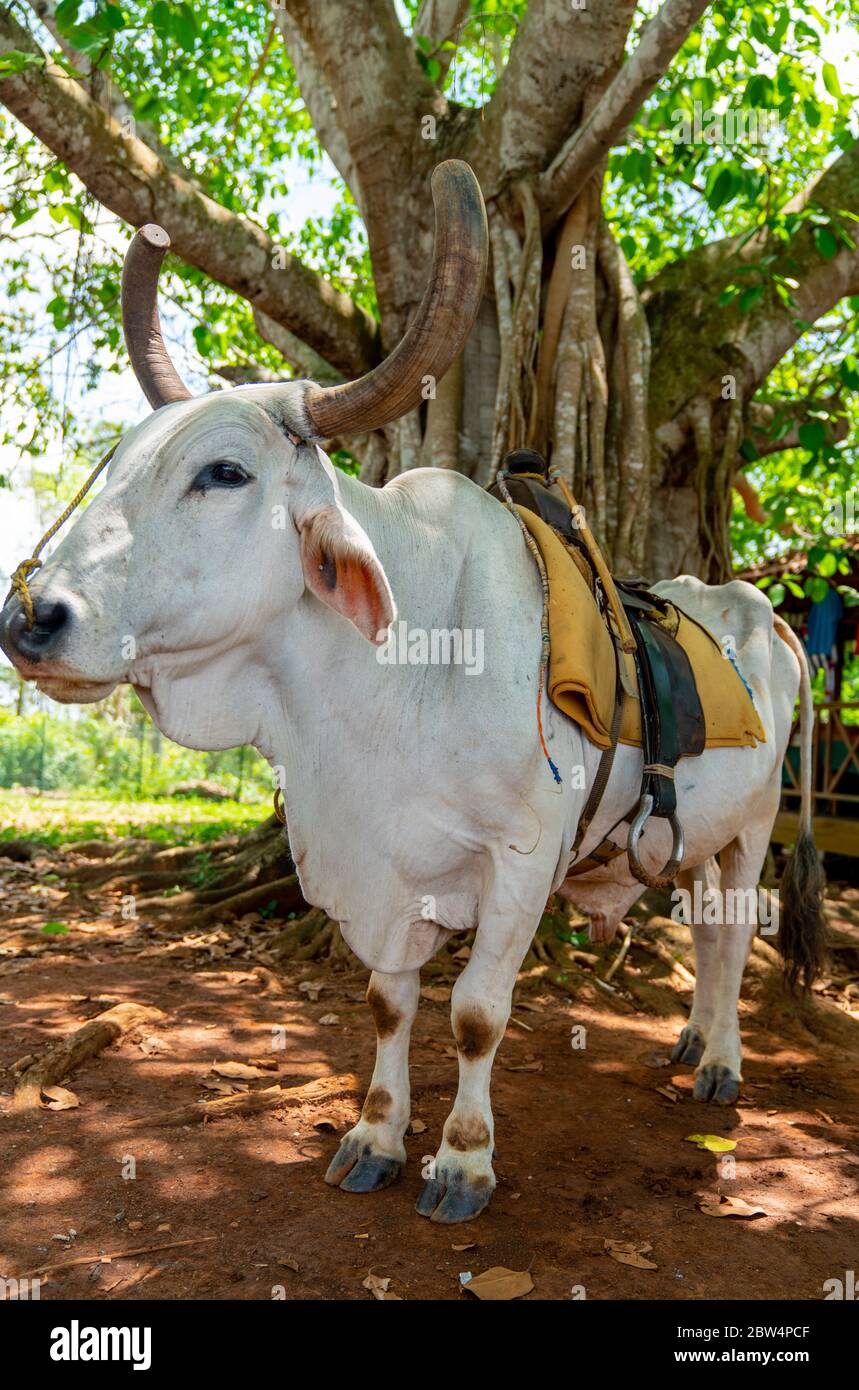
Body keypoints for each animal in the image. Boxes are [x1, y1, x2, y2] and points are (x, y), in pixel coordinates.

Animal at [0, 161, 825, 1225]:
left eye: (224, 472)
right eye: (113, 464)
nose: (31, 618)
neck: (384, 694)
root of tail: (760, 611)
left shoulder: (521, 860)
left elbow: (475, 1013)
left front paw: (463, 1160)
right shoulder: (375, 866)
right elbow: (389, 1002)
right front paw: (374, 1139)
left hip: (754, 827)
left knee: (725, 938)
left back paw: (720, 1062)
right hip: (689, 836)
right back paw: (688, 1040)